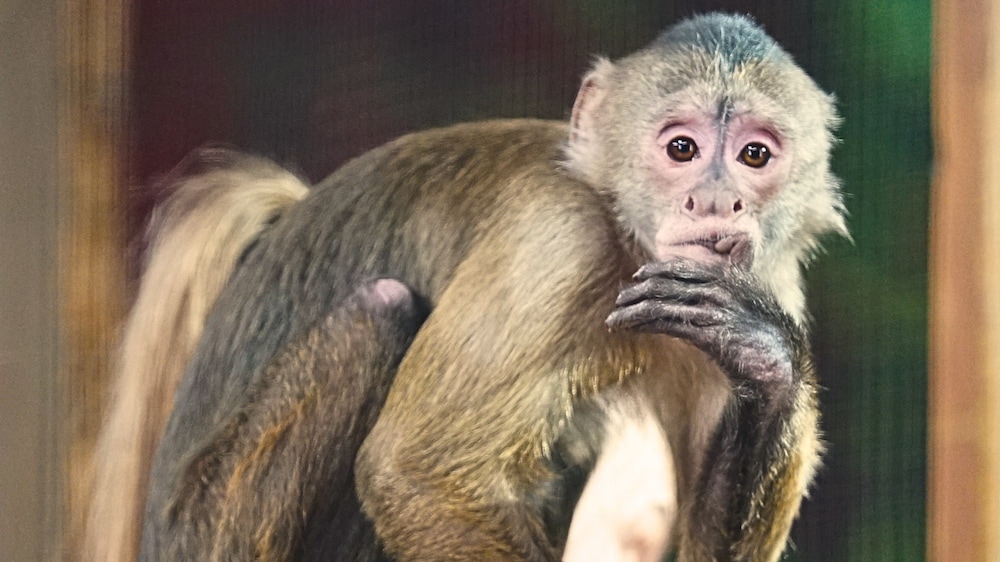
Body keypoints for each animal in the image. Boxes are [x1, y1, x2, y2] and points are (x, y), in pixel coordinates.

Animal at [90, 12, 846, 562]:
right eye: (682, 149)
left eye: (754, 154)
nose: (715, 202)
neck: (619, 231)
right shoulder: (558, 235)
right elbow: (410, 473)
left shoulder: (764, 278)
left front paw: (760, 355)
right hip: (206, 533)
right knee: (382, 313)